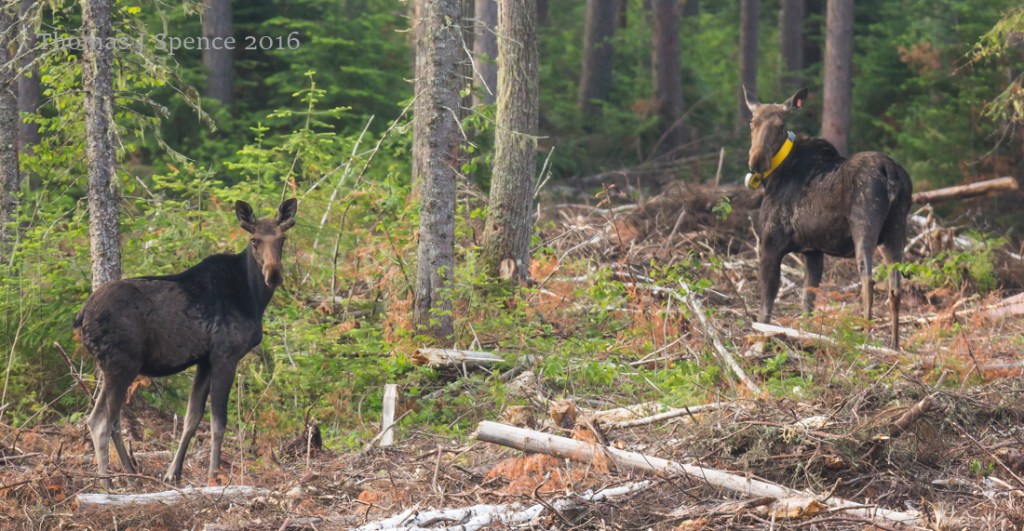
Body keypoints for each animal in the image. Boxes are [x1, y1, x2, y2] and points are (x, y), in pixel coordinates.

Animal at [74, 199, 297, 487]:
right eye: (255, 239)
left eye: (282, 238)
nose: (274, 274)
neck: (254, 297)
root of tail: (81, 317)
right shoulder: (225, 355)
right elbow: (218, 422)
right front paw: (214, 474)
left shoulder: (204, 360)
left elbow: (192, 418)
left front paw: (173, 472)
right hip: (121, 364)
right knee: (99, 421)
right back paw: (107, 482)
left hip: (111, 367)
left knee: (108, 421)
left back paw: (131, 474)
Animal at [743, 87, 912, 349]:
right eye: (753, 122)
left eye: (781, 125)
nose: (756, 161)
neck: (775, 176)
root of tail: (891, 172)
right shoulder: (813, 251)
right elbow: (808, 300)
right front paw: (806, 337)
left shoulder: (770, 244)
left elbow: (766, 306)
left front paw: (760, 341)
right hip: (895, 231)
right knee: (896, 286)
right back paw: (894, 346)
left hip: (864, 227)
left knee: (868, 280)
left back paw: (865, 339)